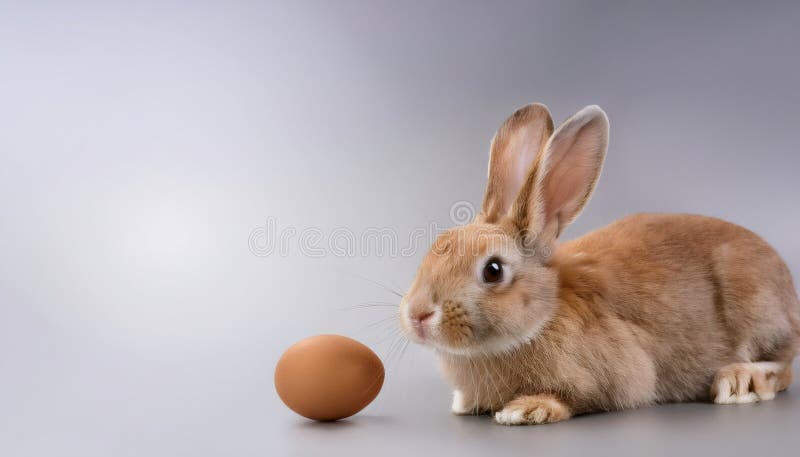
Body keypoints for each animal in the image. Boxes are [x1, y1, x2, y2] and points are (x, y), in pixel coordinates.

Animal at [398, 103, 800, 425]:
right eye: (437, 246)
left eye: (493, 270)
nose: (417, 316)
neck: (542, 318)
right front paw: (464, 404)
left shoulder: (614, 376)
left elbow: (578, 397)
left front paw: (526, 409)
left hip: (755, 308)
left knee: (783, 365)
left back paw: (737, 381)